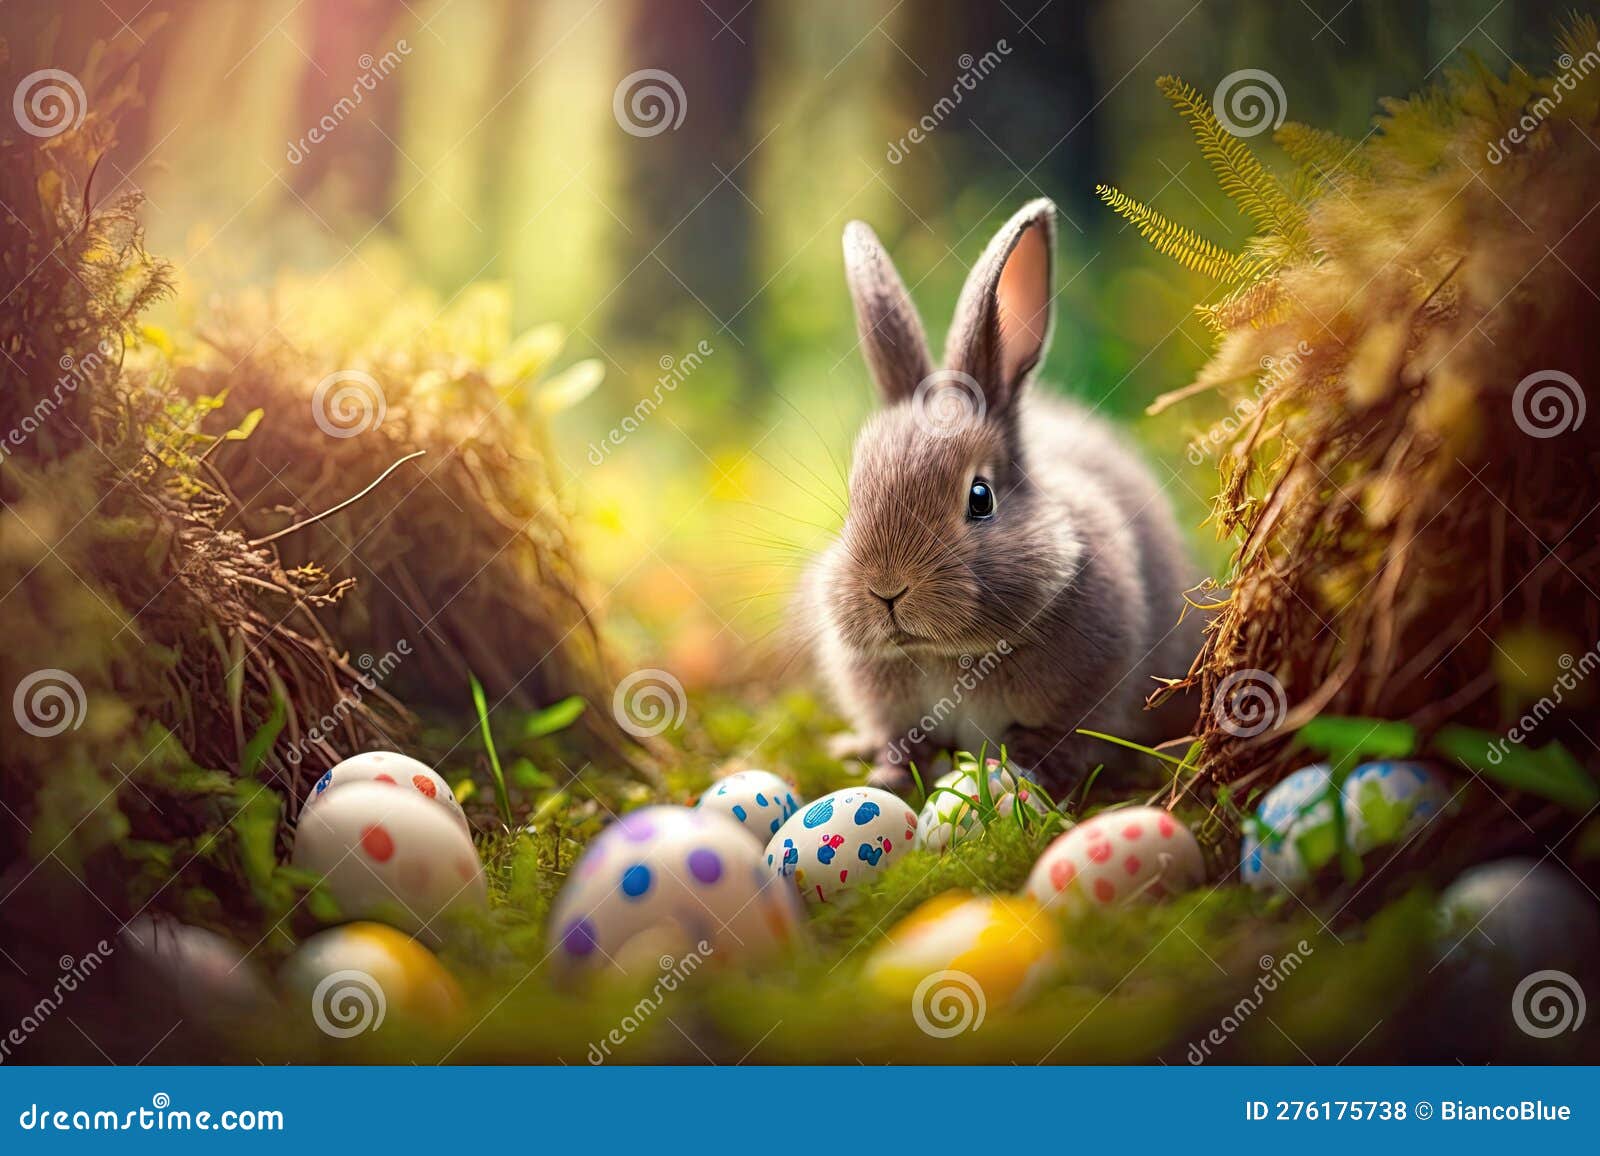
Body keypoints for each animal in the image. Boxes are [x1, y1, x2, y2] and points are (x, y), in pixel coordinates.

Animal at [802, 198, 1202, 795]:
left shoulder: (1084, 701)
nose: (886, 589)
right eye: (853, 499)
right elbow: (903, 743)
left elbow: (1058, 743)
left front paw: (1021, 779)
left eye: (981, 497)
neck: (947, 654)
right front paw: (888, 778)